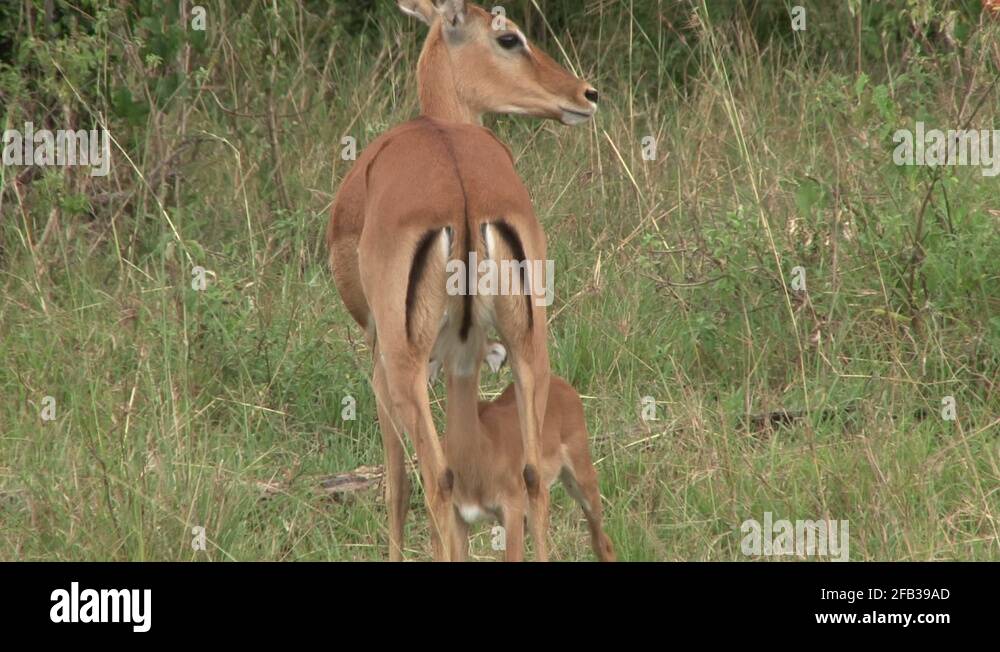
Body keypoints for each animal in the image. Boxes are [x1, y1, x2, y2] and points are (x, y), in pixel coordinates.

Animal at [326, 0, 599, 560]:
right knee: (533, 478)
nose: (587, 93)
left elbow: (397, 484)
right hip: (529, 345)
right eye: (509, 38)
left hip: (405, 365)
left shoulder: (378, 356)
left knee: (437, 480)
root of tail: (464, 194)